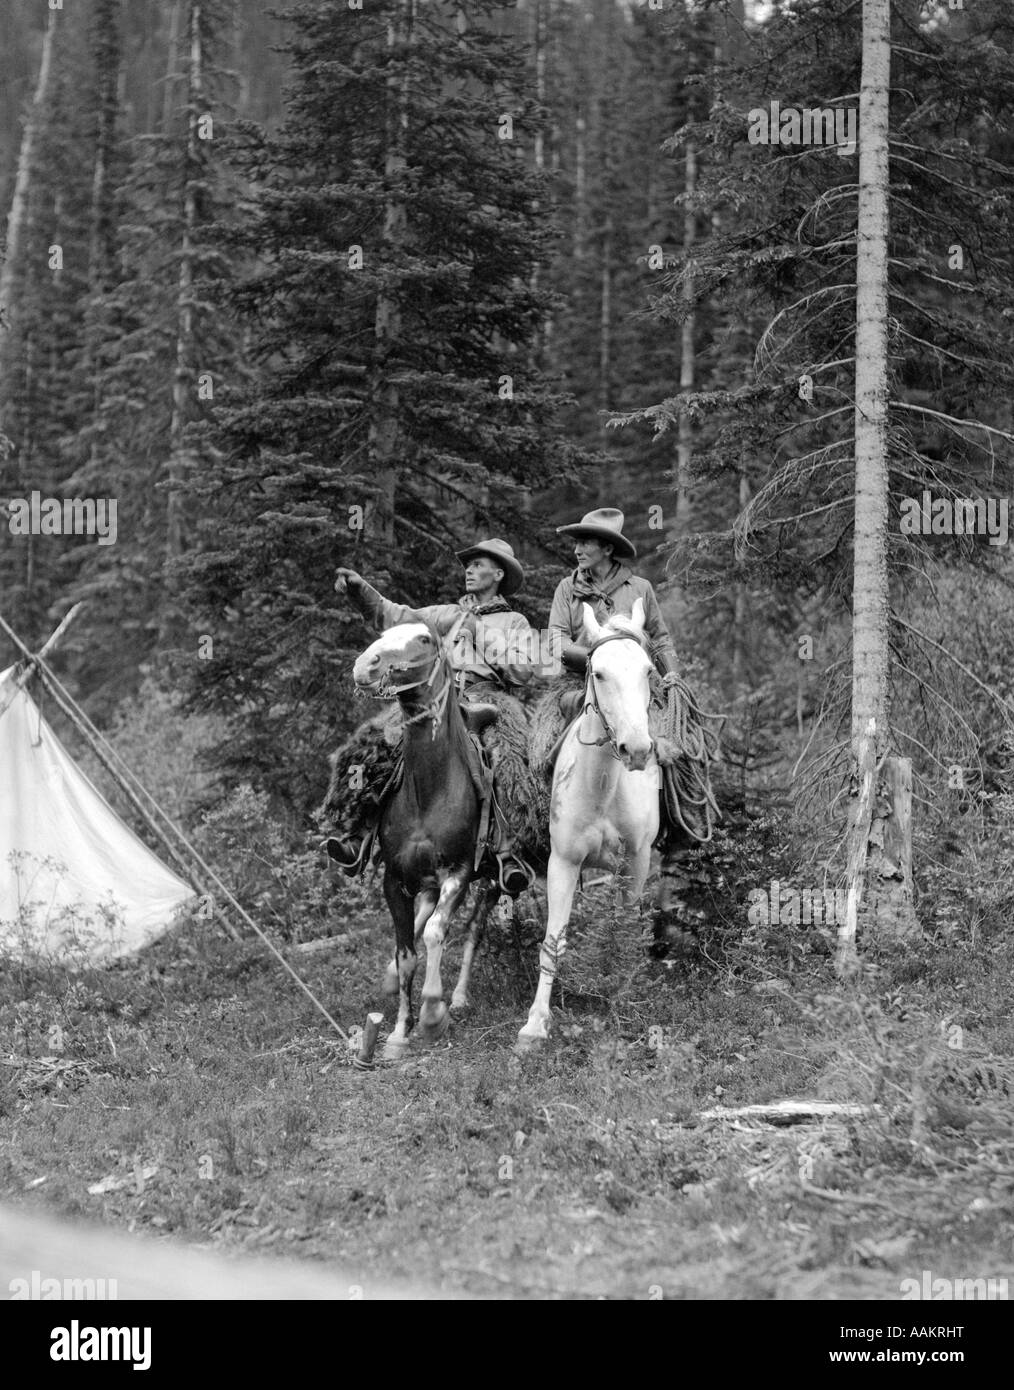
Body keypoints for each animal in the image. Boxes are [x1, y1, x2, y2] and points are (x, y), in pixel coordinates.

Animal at [352, 620, 499, 1059]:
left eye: (424, 639)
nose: (366, 664)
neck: (429, 791)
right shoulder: (395, 881)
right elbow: (406, 953)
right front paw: (400, 1031)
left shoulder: (459, 872)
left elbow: (436, 933)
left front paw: (433, 1015)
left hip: (495, 881)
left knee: (473, 927)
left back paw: (460, 997)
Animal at [516, 599, 659, 1052]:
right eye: (599, 673)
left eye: (648, 671)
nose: (637, 750)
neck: (604, 788)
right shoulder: (562, 862)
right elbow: (552, 942)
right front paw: (535, 1023)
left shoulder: (637, 862)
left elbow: (626, 928)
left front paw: (623, 996)